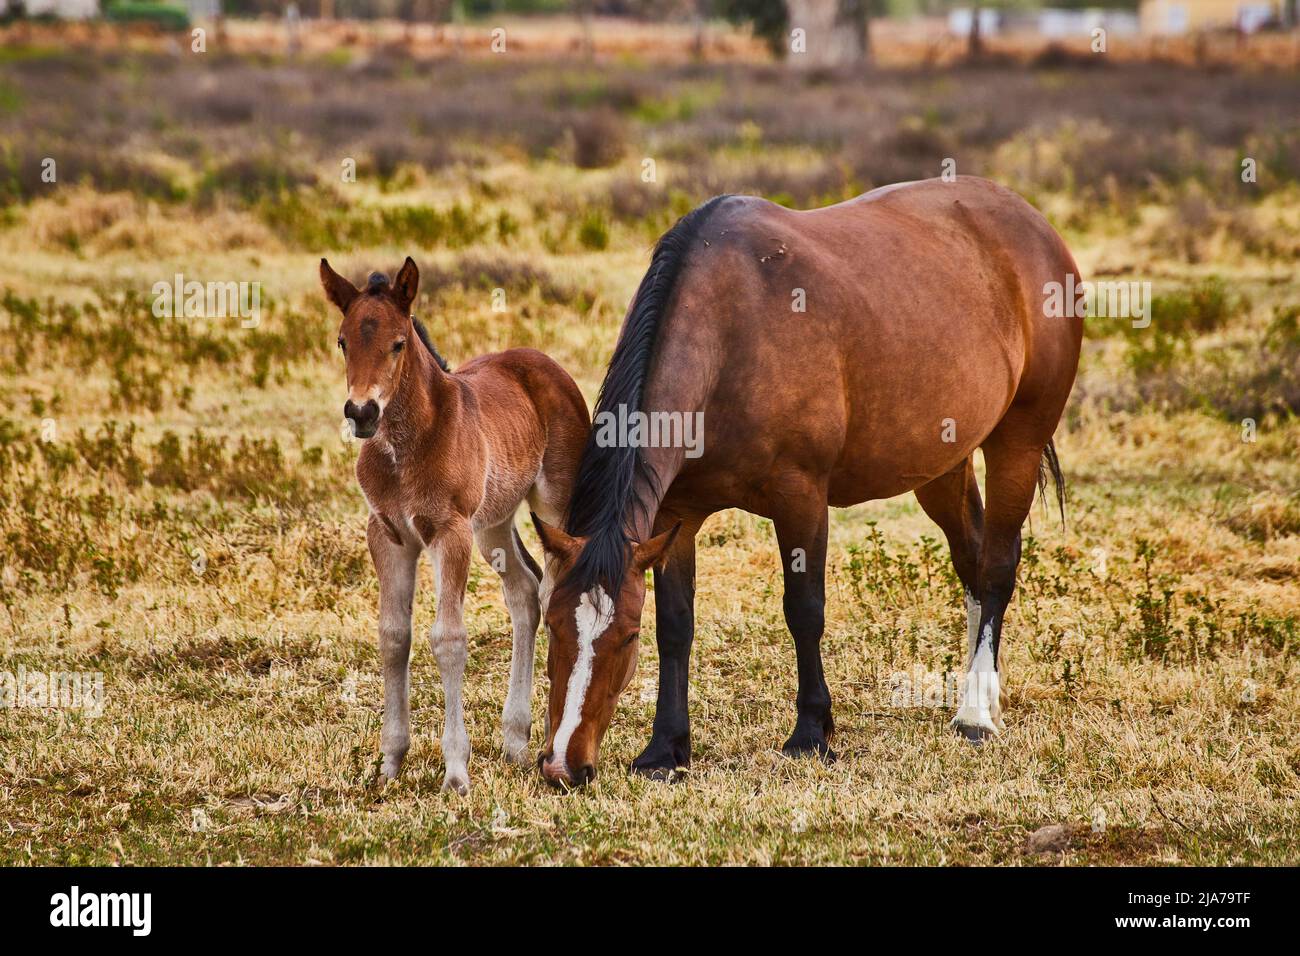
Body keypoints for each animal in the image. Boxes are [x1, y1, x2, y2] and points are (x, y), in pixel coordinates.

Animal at [320, 256, 590, 793]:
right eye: (342, 341)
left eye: (398, 343)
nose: (361, 412)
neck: (405, 448)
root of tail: (546, 363)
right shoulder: (388, 534)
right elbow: (393, 637)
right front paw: (390, 762)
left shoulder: (450, 531)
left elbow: (448, 639)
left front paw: (456, 772)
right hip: (494, 524)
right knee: (524, 593)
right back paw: (514, 739)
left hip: (552, 506)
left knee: (555, 589)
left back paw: (548, 742)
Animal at [531, 177, 1082, 787]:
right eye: (551, 626)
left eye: (625, 636)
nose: (562, 765)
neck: (732, 328)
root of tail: (1034, 226)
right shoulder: (676, 517)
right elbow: (676, 626)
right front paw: (665, 749)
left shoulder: (801, 499)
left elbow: (804, 610)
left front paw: (812, 733)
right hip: (943, 465)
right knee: (973, 562)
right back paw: (981, 694)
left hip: (1017, 441)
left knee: (997, 568)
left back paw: (976, 714)